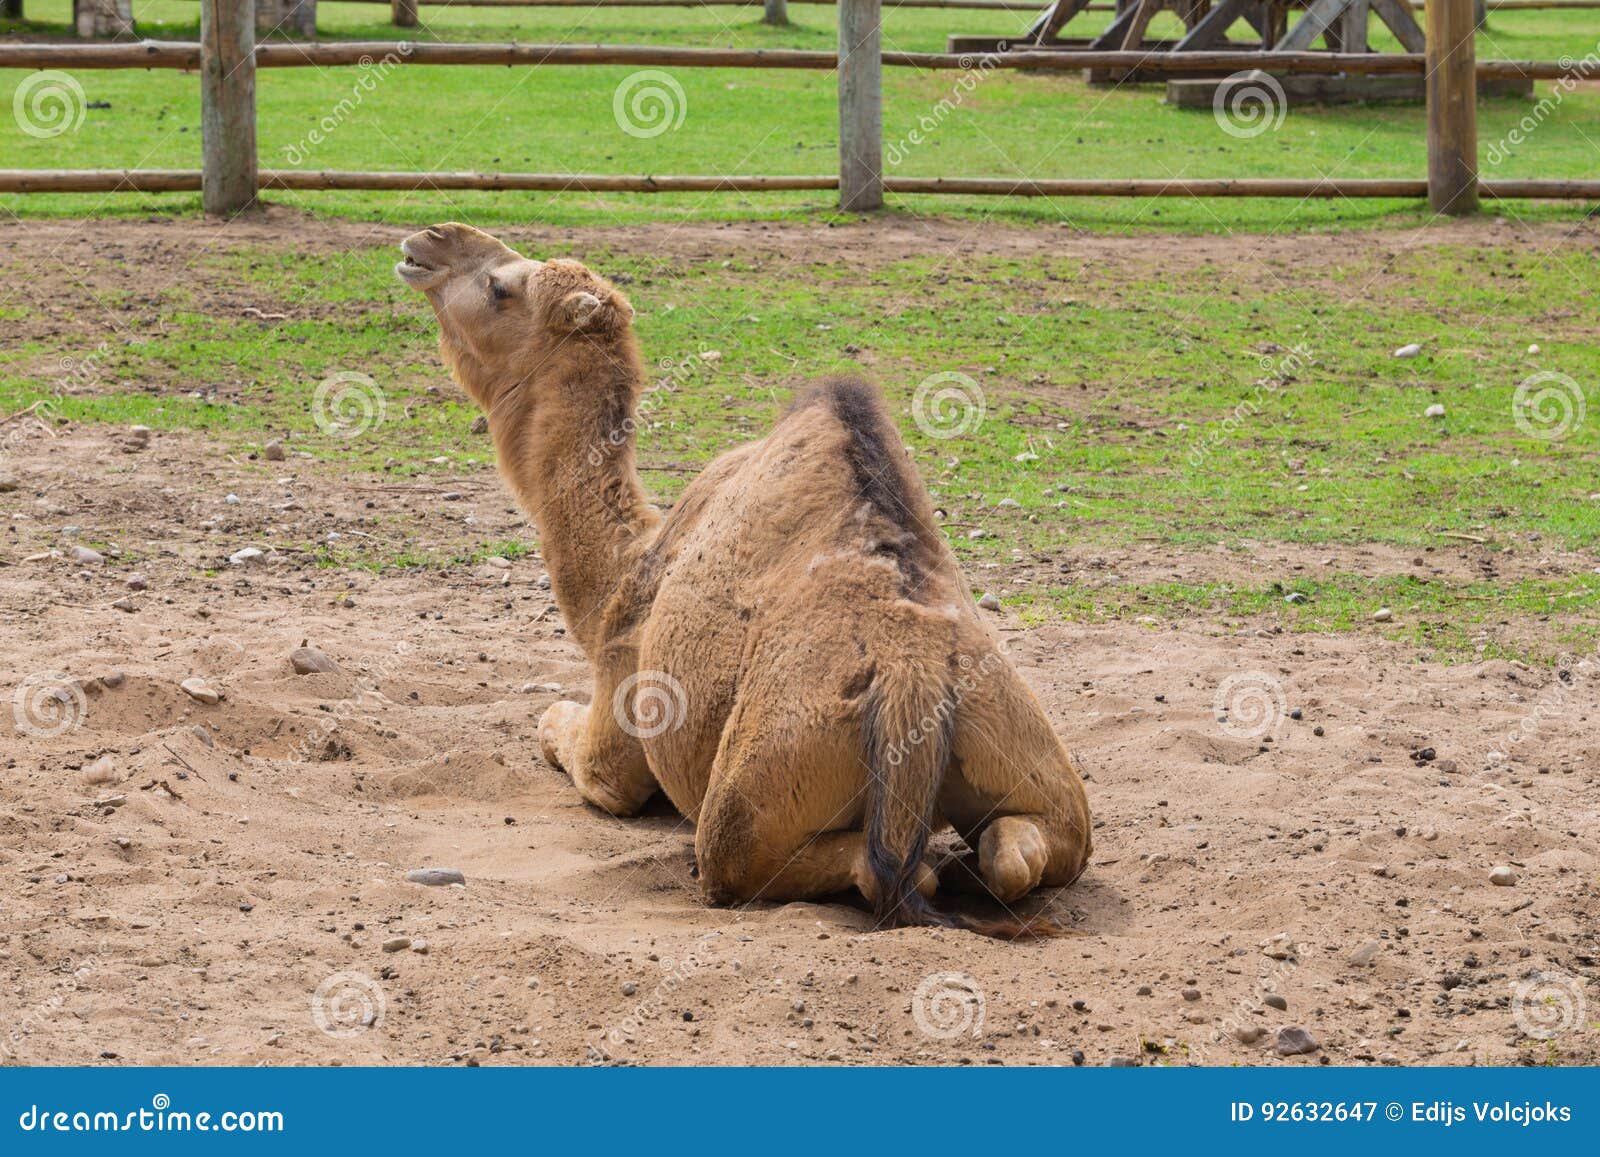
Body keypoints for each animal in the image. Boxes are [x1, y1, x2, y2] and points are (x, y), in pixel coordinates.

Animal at [396, 223, 1091, 937]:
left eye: (500, 286)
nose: (430, 239)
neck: (631, 566)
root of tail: (912, 681)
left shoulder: (619, 709)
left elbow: (556, 731)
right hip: (1036, 770)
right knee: (1020, 851)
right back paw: (973, 869)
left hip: (754, 795)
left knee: (808, 863)